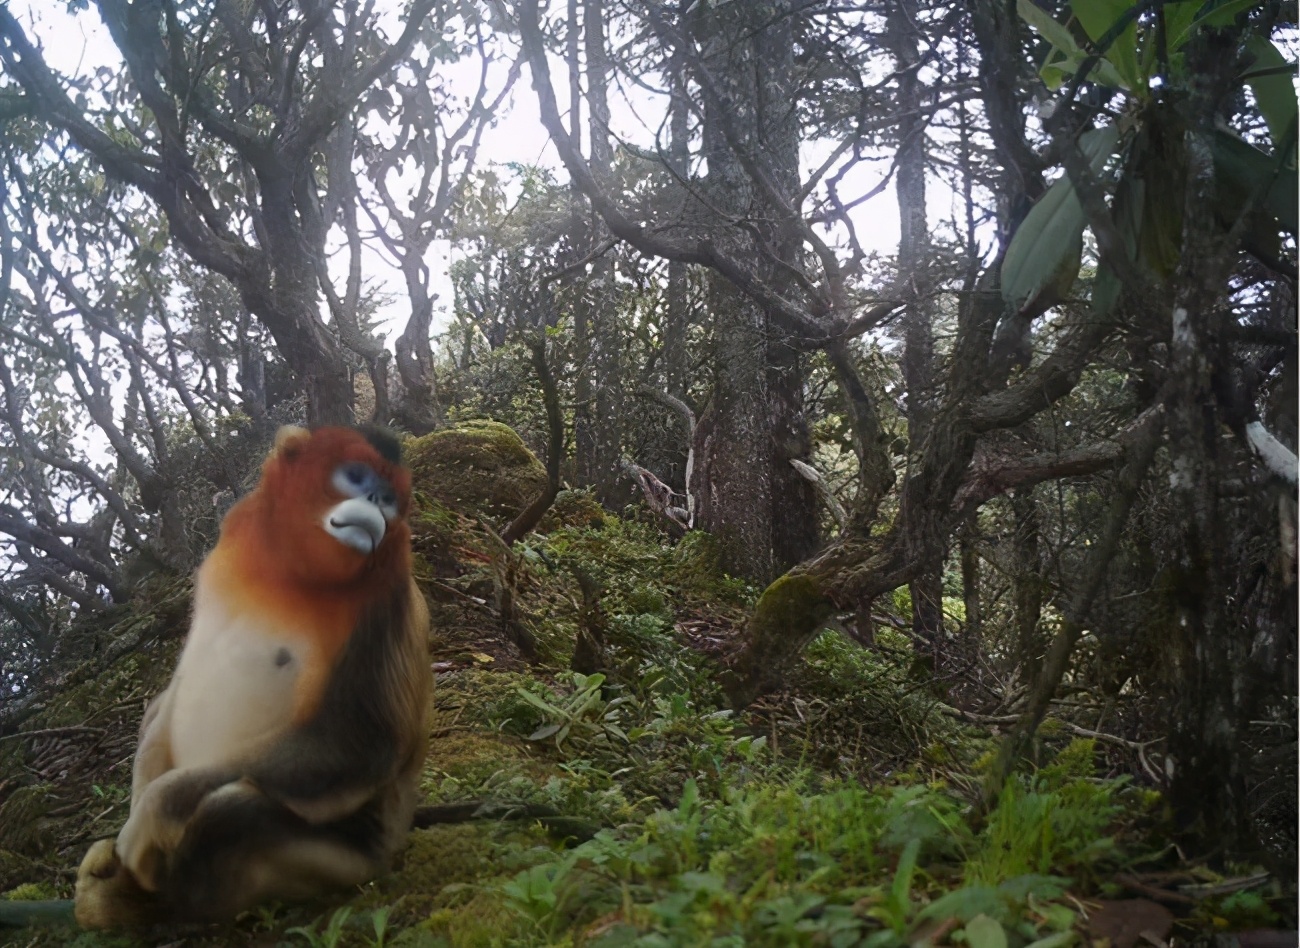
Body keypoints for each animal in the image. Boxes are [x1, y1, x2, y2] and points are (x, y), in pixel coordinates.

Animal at [73, 425, 432, 928]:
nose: (379, 501)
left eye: (392, 498)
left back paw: (159, 906)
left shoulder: (386, 600)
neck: (288, 575)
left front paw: (149, 815)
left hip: (353, 861)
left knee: (232, 814)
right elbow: (173, 695)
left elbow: (358, 743)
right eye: (357, 476)